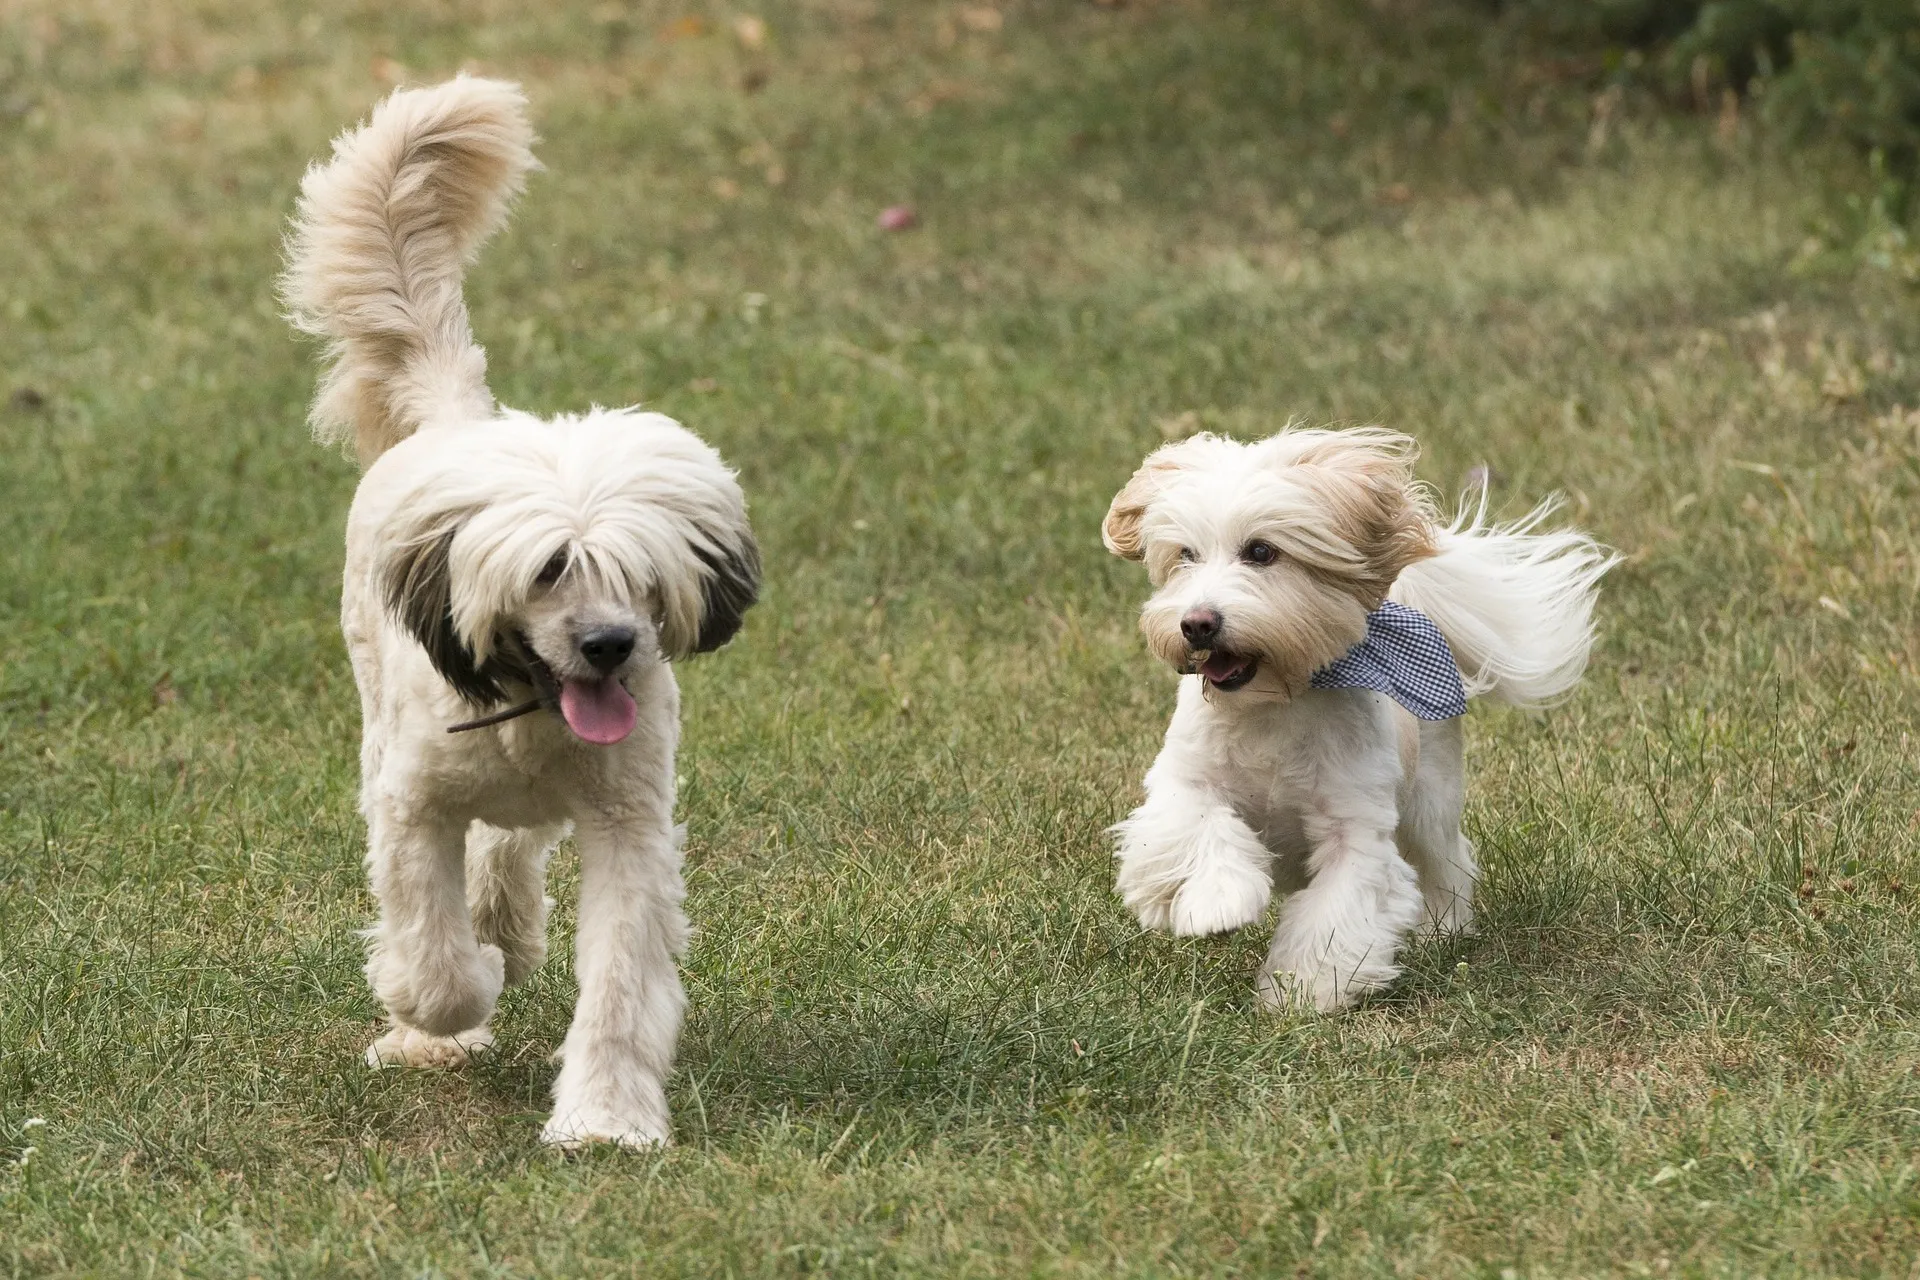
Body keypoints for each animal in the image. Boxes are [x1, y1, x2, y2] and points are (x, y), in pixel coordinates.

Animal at [280, 75, 756, 1143]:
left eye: (640, 574)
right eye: (549, 570)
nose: (610, 644)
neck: (529, 719)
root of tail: (464, 424)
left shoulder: (631, 824)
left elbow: (619, 980)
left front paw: (606, 1120)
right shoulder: (411, 803)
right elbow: (430, 949)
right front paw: (439, 1017)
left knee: (510, 848)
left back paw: (509, 919)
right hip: (375, 709)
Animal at [1105, 429, 1612, 1013]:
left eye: (1261, 552)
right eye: (1185, 555)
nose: (1197, 623)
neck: (1274, 702)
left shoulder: (1357, 825)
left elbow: (1335, 913)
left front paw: (1300, 993)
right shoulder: (1185, 780)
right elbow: (1195, 828)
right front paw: (1217, 906)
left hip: (1430, 799)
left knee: (1446, 859)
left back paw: (1444, 931)